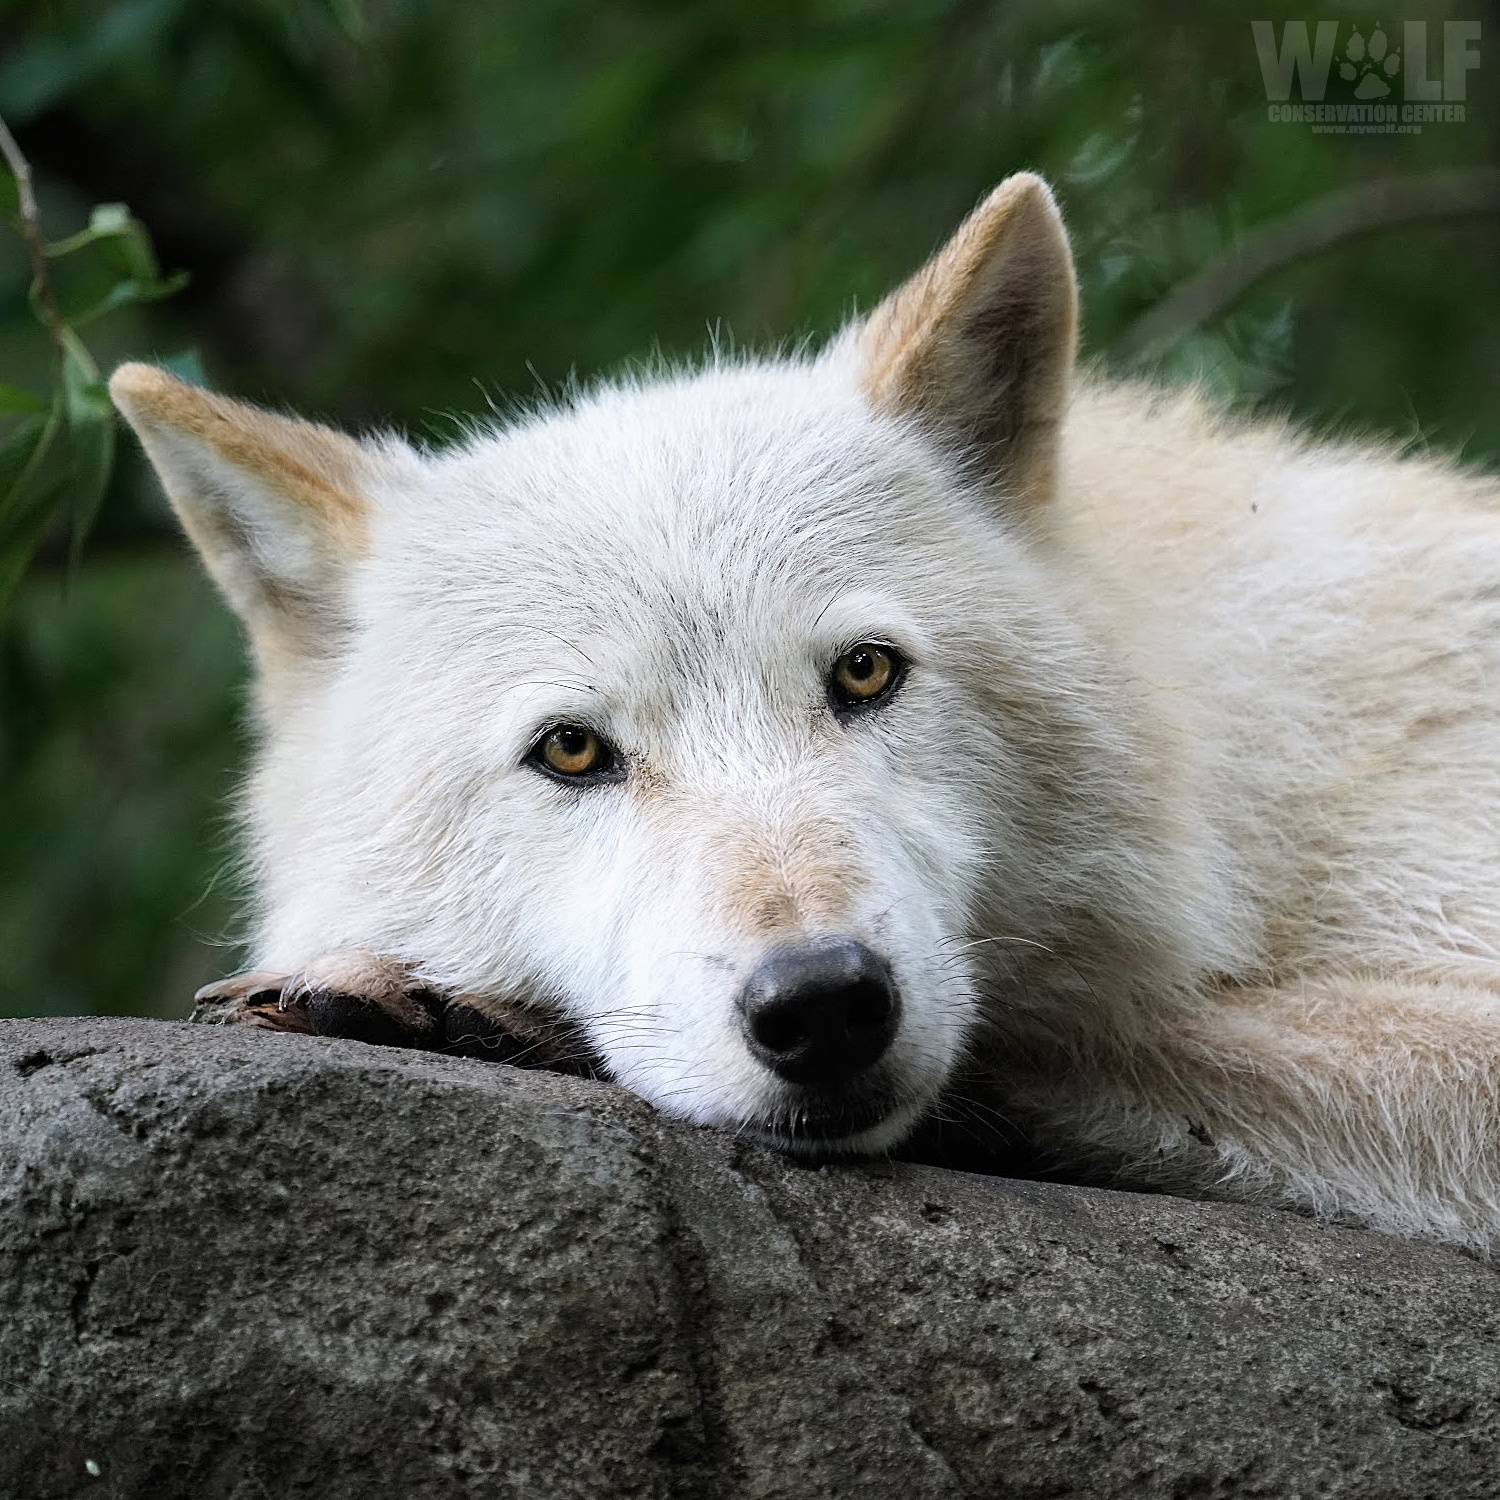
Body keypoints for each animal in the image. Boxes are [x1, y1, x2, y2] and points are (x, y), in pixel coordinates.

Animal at [111, 173, 1500, 1251]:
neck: (1244, 749)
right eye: (572, 749)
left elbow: (1085, 1027)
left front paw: (461, 1017)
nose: (823, 1002)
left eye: (866, 675)